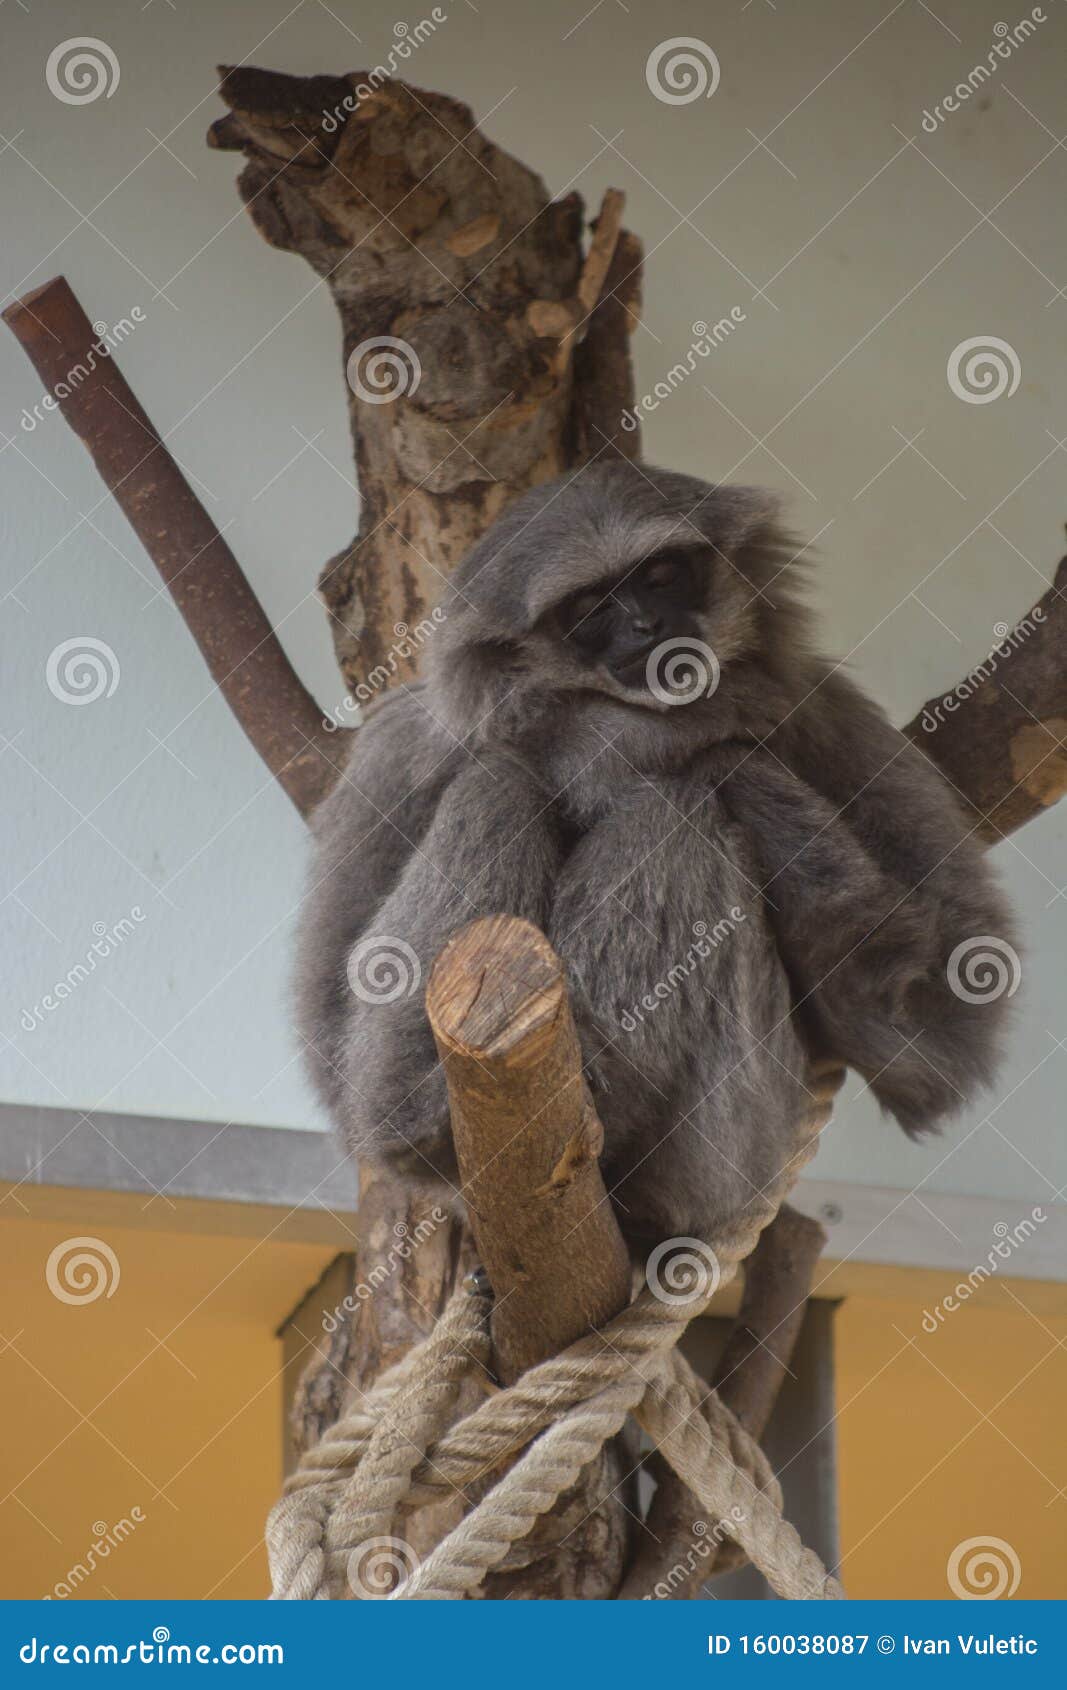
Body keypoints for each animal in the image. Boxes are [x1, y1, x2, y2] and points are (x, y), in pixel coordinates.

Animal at [294, 461, 1016, 1248]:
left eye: (663, 574)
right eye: (589, 607)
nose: (646, 626)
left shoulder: (827, 705)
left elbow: (934, 1032)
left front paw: (701, 740)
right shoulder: (405, 737)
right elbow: (337, 1053)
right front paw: (621, 737)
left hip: (726, 1162)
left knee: (665, 811)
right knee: (501, 783)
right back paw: (430, 1122)